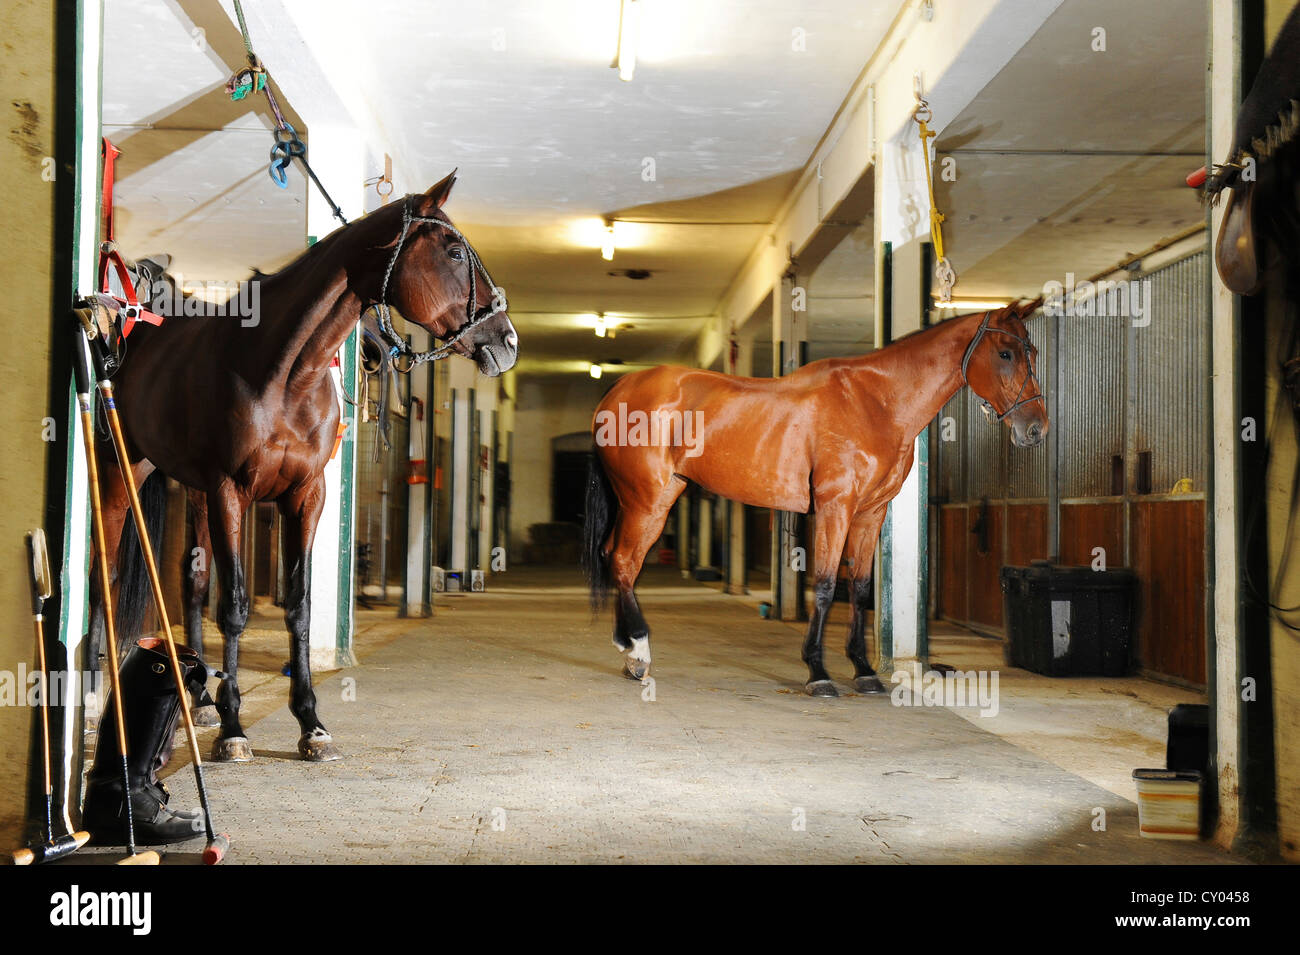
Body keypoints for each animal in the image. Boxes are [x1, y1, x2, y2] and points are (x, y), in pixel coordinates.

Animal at [90, 172, 518, 762]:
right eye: (454, 252)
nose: (507, 341)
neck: (284, 371)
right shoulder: (231, 492)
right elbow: (236, 606)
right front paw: (234, 730)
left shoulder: (306, 495)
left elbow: (299, 603)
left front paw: (309, 724)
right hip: (123, 471)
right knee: (105, 571)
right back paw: (94, 695)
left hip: (193, 493)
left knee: (192, 582)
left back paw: (196, 701)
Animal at [582, 301, 1045, 696]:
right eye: (1005, 353)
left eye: (1033, 351)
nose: (1036, 429)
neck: (875, 402)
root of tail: (618, 390)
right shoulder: (834, 507)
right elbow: (824, 584)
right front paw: (818, 672)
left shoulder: (871, 513)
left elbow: (859, 587)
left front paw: (864, 671)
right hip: (648, 500)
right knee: (624, 561)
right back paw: (639, 654)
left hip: (646, 498)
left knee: (615, 558)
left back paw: (627, 649)